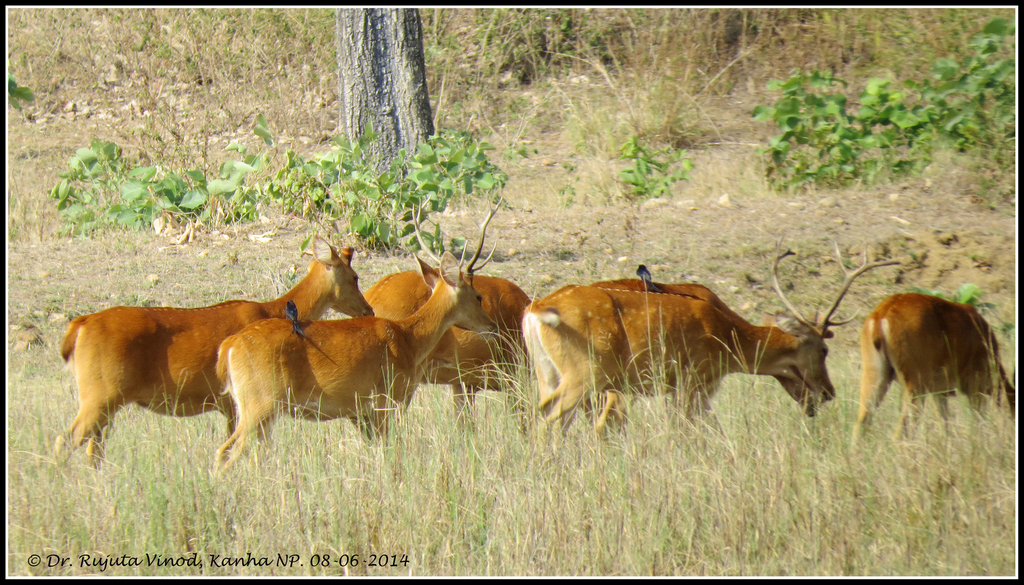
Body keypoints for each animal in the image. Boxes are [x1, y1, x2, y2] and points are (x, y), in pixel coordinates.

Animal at [55, 236, 375, 468]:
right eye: (355, 276)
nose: (368, 309)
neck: (272, 310)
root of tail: (80, 325)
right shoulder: (237, 401)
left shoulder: (229, 404)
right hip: (99, 394)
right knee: (64, 441)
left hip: (107, 402)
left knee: (93, 450)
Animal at [214, 209, 501, 470]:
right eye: (477, 296)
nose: (492, 325)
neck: (408, 337)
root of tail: (228, 347)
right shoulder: (387, 398)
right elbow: (389, 448)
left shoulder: (362, 410)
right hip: (260, 405)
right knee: (226, 451)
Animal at [523, 240, 899, 435]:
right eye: (823, 349)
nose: (828, 392)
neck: (728, 337)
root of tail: (536, 309)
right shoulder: (694, 379)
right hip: (587, 373)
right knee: (556, 420)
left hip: (550, 373)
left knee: (545, 412)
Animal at [852, 292, 1015, 442]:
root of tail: (883, 313)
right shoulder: (976, 387)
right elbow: (978, 424)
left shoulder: (939, 392)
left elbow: (944, 426)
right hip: (915, 387)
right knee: (899, 432)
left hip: (875, 378)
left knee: (860, 426)